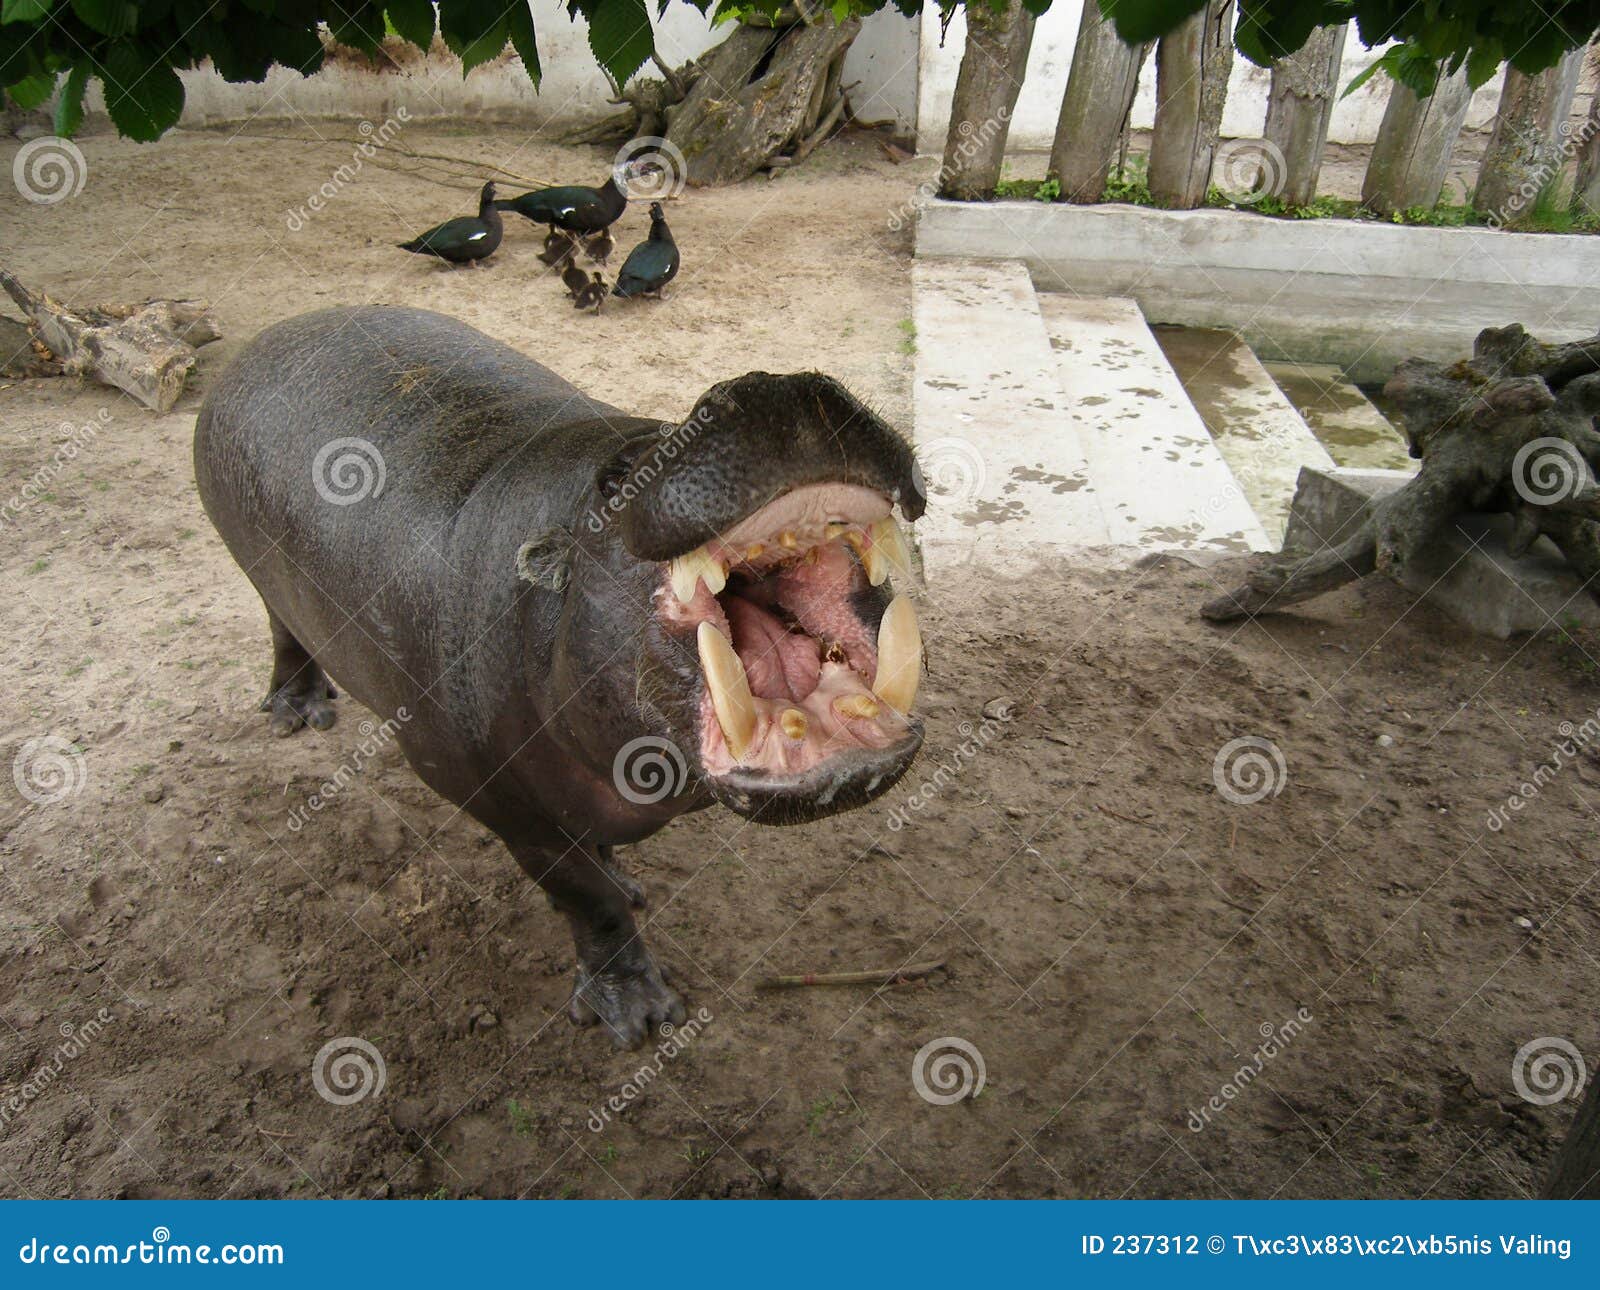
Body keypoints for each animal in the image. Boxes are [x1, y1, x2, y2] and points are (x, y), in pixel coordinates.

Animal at [193, 306, 926, 1047]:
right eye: (615, 479)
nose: (778, 386)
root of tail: (267, 337)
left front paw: (623, 877)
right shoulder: (515, 816)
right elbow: (588, 899)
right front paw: (638, 1017)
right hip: (258, 578)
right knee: (282, 630)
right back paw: (297, 711)